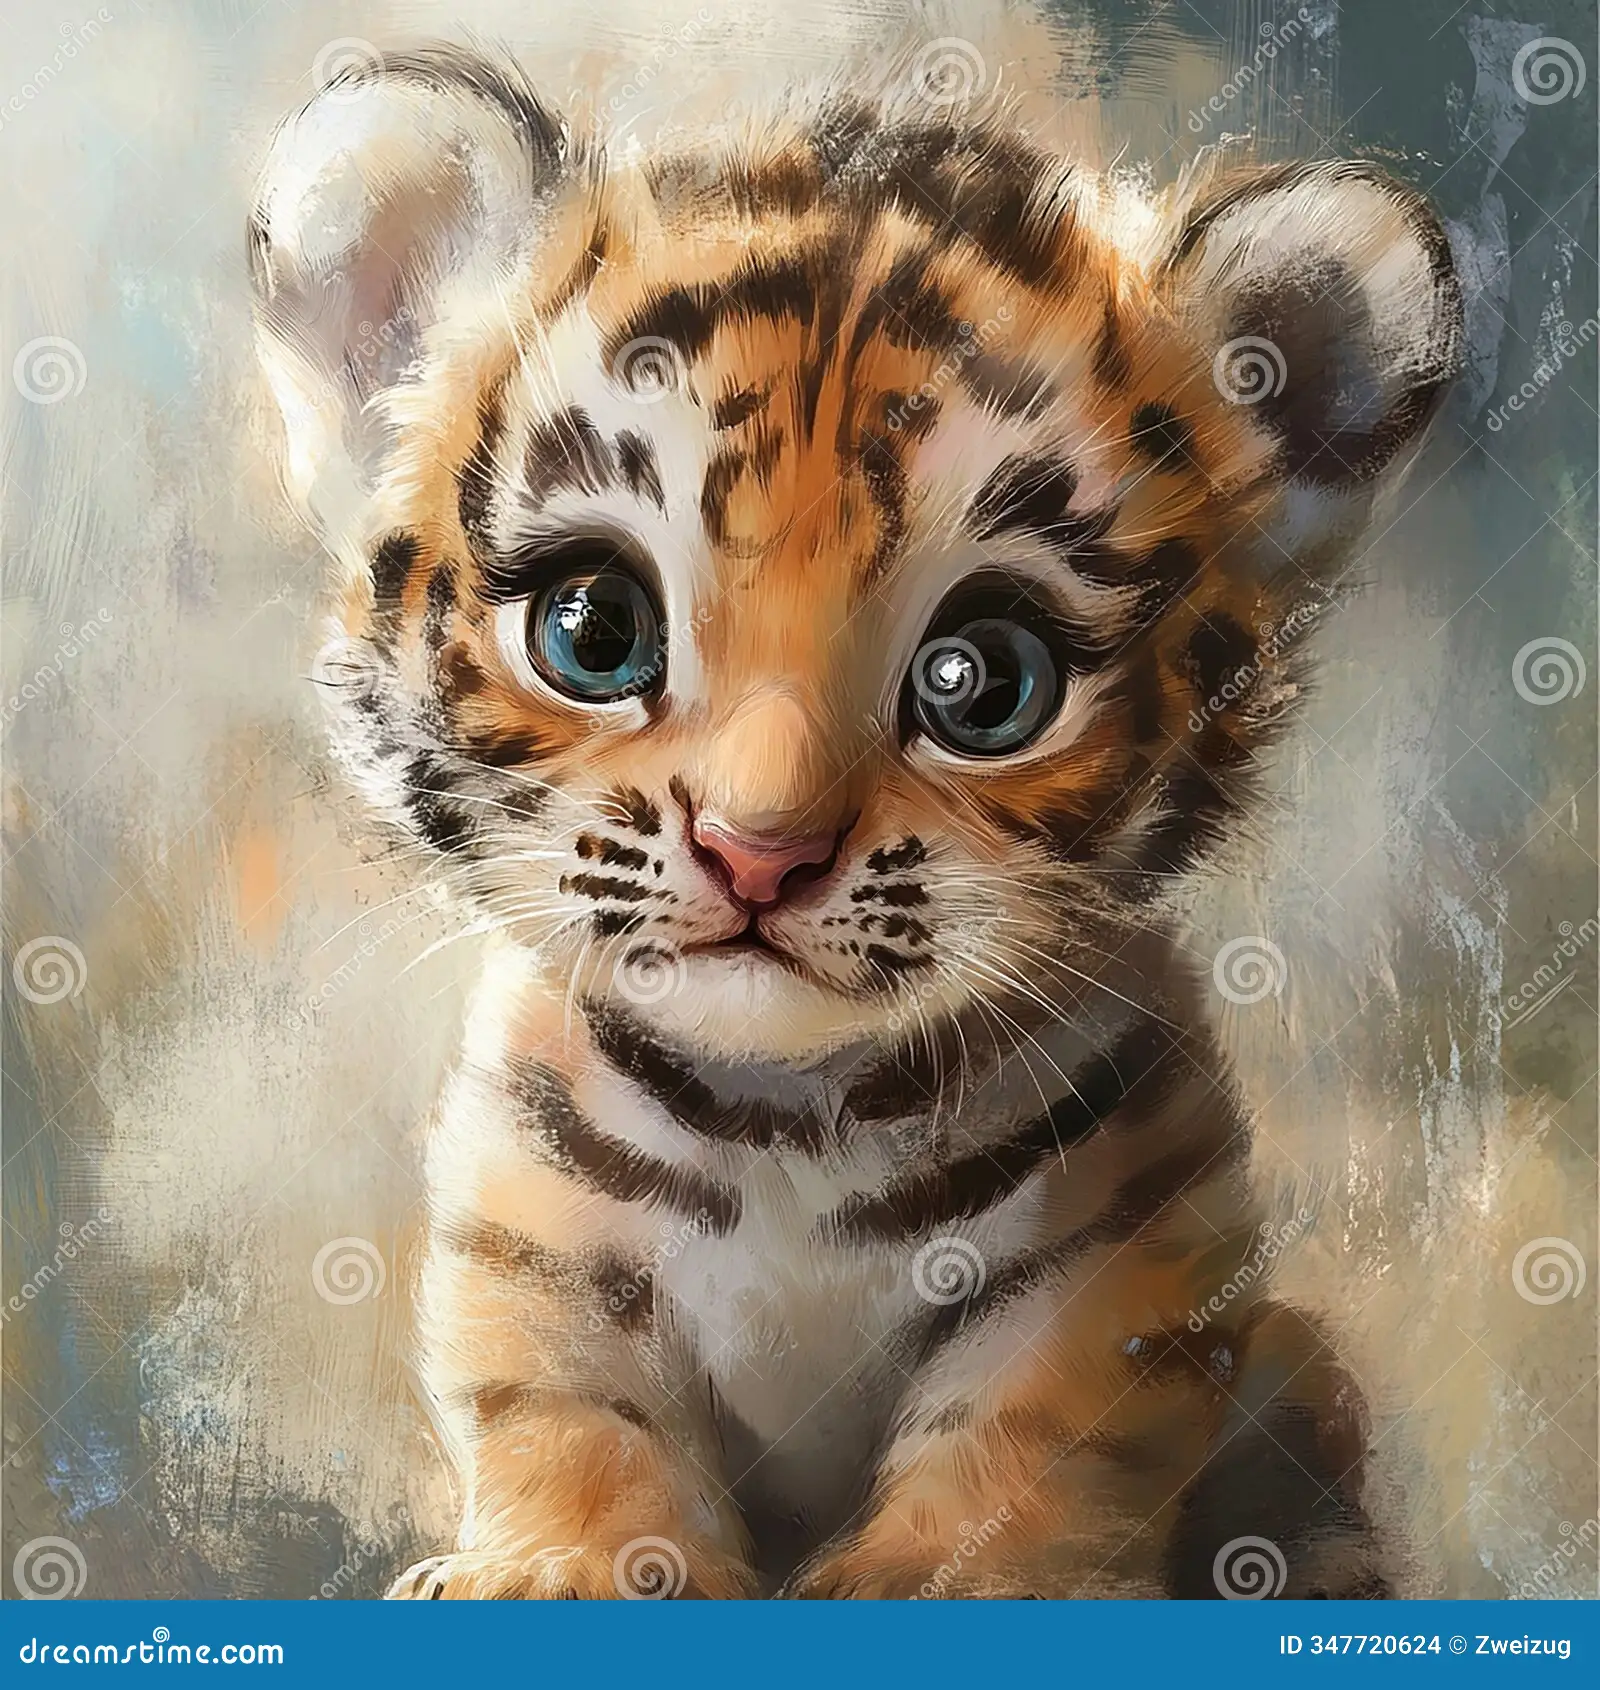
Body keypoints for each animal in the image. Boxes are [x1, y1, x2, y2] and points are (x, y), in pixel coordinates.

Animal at [248, 43, 1461, 1599]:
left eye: (984, 679)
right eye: (593, 627)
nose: (758, 851)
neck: (785, 1126)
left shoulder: (1121, 1258)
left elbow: (1029, 1452)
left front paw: (934, 1581)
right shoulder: (533, 1225)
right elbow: (562, 1402)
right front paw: (563, 1567)